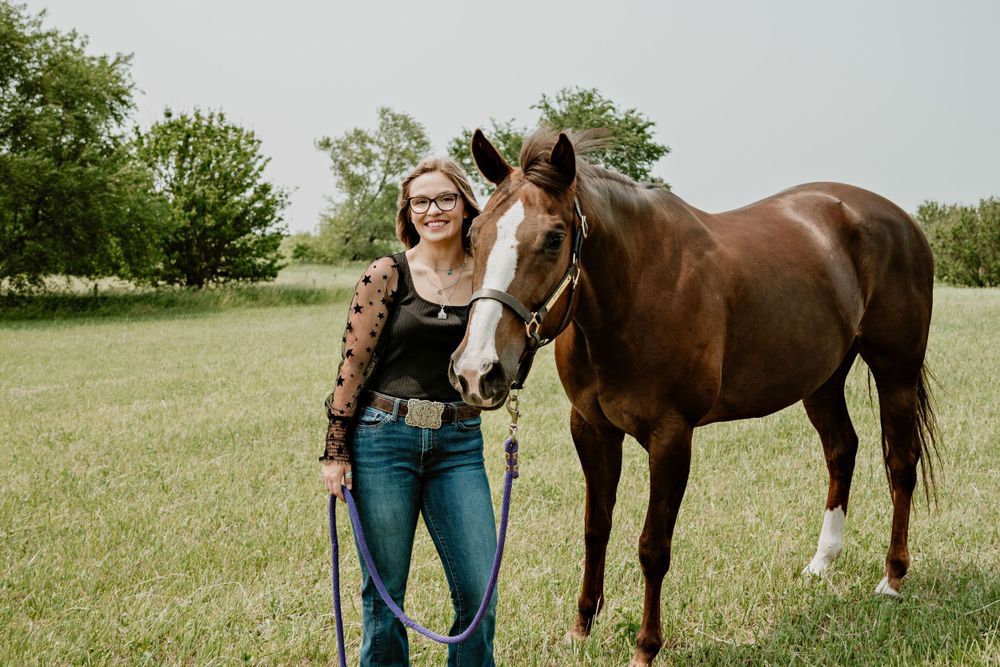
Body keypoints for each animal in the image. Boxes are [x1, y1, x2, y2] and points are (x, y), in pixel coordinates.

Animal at [448, 128, 939, 665]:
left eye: (554, 238)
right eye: (473, 235)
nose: (477, 371)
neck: (637, 289)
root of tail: (901, 220)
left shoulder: (670, 436)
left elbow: (653, 546)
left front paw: (646, 646)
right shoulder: (591, 428)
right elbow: (595, 527)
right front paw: (581, 628)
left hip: (896, 371)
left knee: (901, 464)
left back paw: (892, 578)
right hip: (823, 379)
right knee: (841, 450)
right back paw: (822, 562)